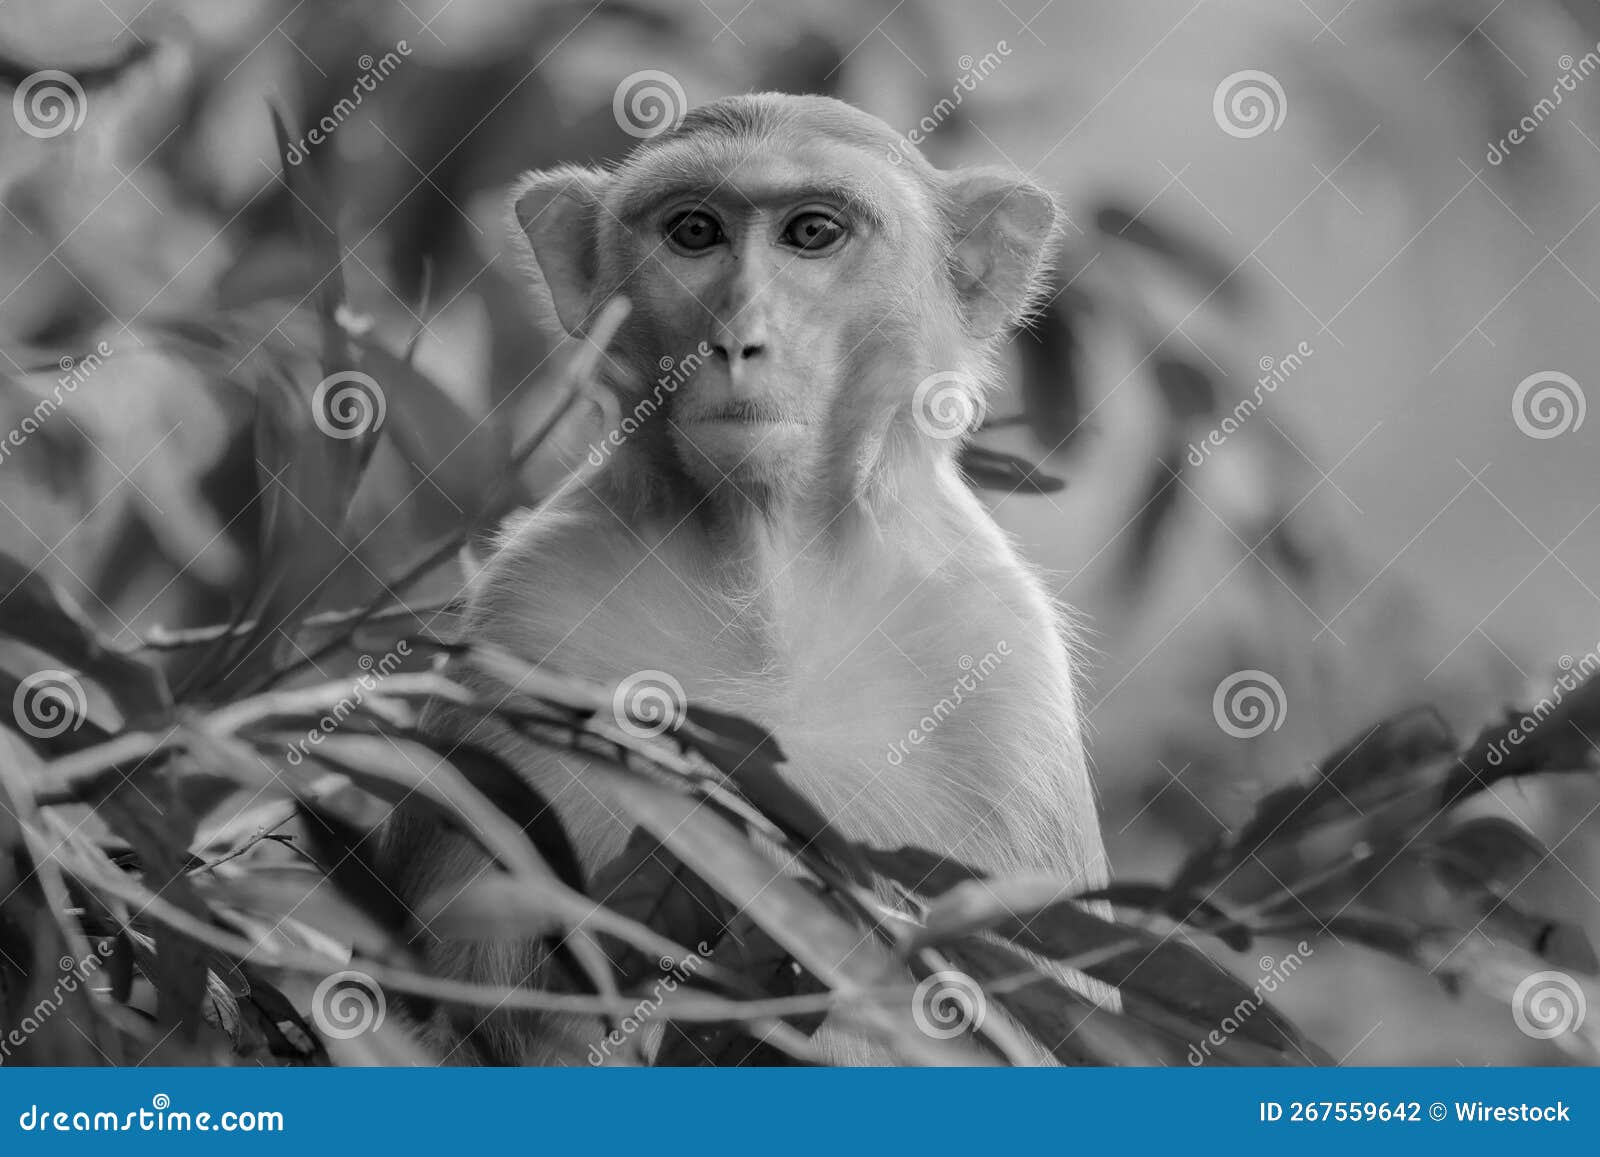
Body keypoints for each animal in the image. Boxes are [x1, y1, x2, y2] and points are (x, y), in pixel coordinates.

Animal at [377, 92, 1111, 1064]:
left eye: (812, 233)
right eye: (695, 231)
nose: (736, 341)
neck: (767, 568)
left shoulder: (1003, 668)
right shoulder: (524, 617)